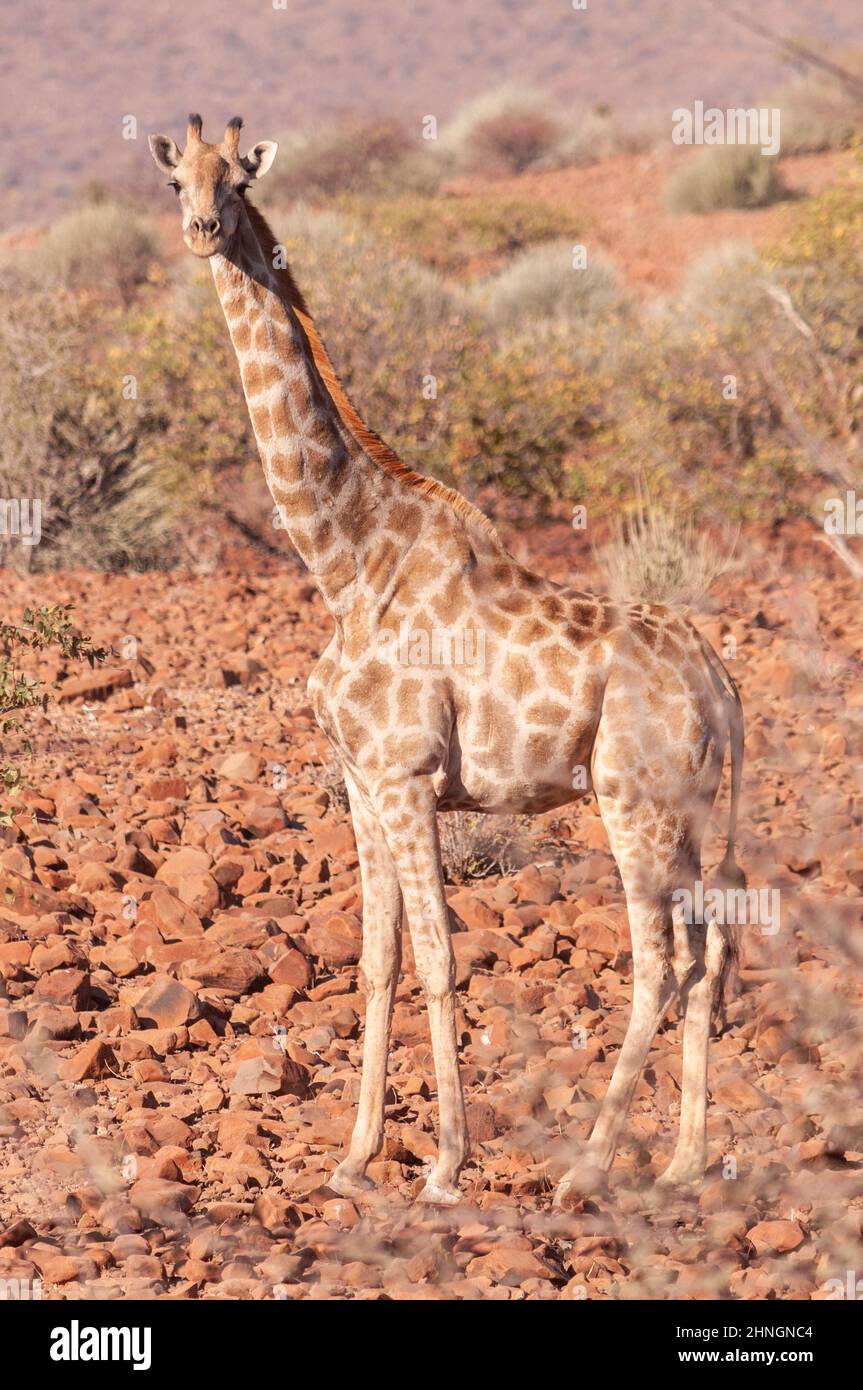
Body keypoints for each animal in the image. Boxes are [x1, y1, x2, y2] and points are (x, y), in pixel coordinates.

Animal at [149, 116, 746, 1207]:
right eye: (176, 179)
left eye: (236, 179)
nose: (202, 229)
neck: (343, 558)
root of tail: (720, 684)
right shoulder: (358, 778)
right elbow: (377, 959)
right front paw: (352, 1160)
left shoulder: (408, 774)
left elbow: (435, 957)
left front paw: (443, 1165)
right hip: (685, 810)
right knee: (706, 946)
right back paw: (682, 1162)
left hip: (629, 799)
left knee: (656, 961)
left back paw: (585, 1169)